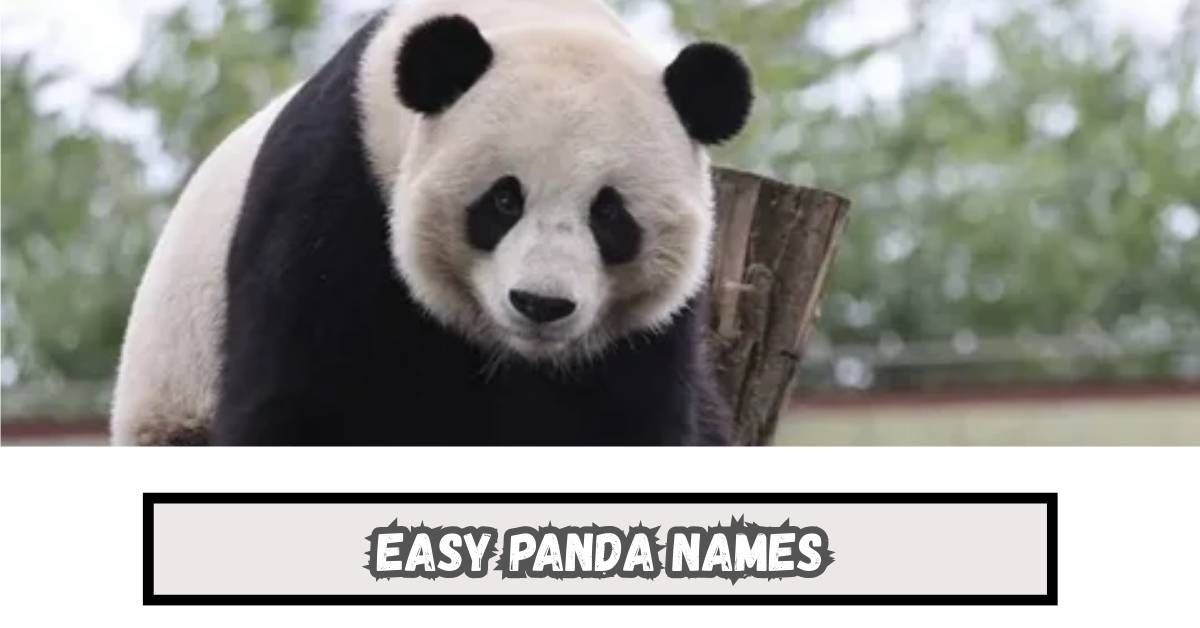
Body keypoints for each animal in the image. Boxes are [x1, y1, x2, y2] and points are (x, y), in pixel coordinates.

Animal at [110, 0, 753, 446]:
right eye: (503, 201)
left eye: (610, 212)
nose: (541, 305)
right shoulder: (331, 202)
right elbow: (301, 402)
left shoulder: (647, 336)